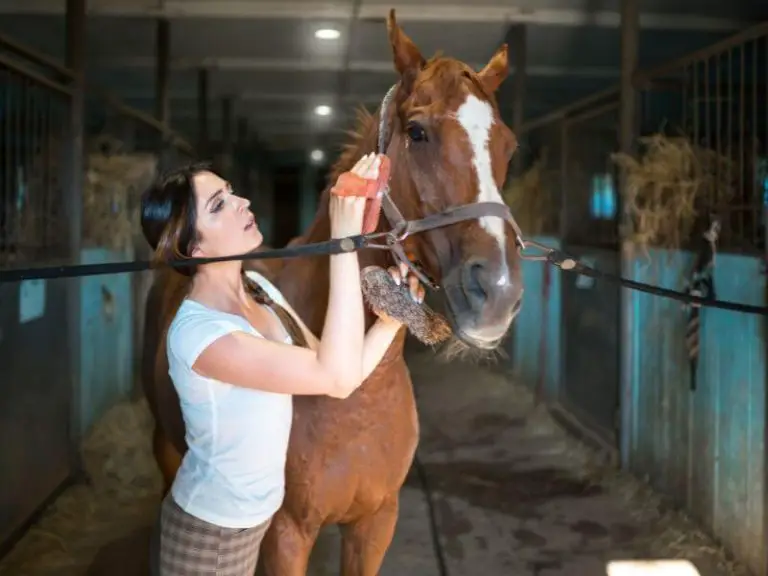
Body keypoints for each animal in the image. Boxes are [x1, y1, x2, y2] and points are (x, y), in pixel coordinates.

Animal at [140, 9, 525, 575]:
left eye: (508, 146)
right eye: (418, 132)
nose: (496, 291)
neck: (358, 397)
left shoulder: (376, 522)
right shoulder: (285, 535)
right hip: (167, 451)